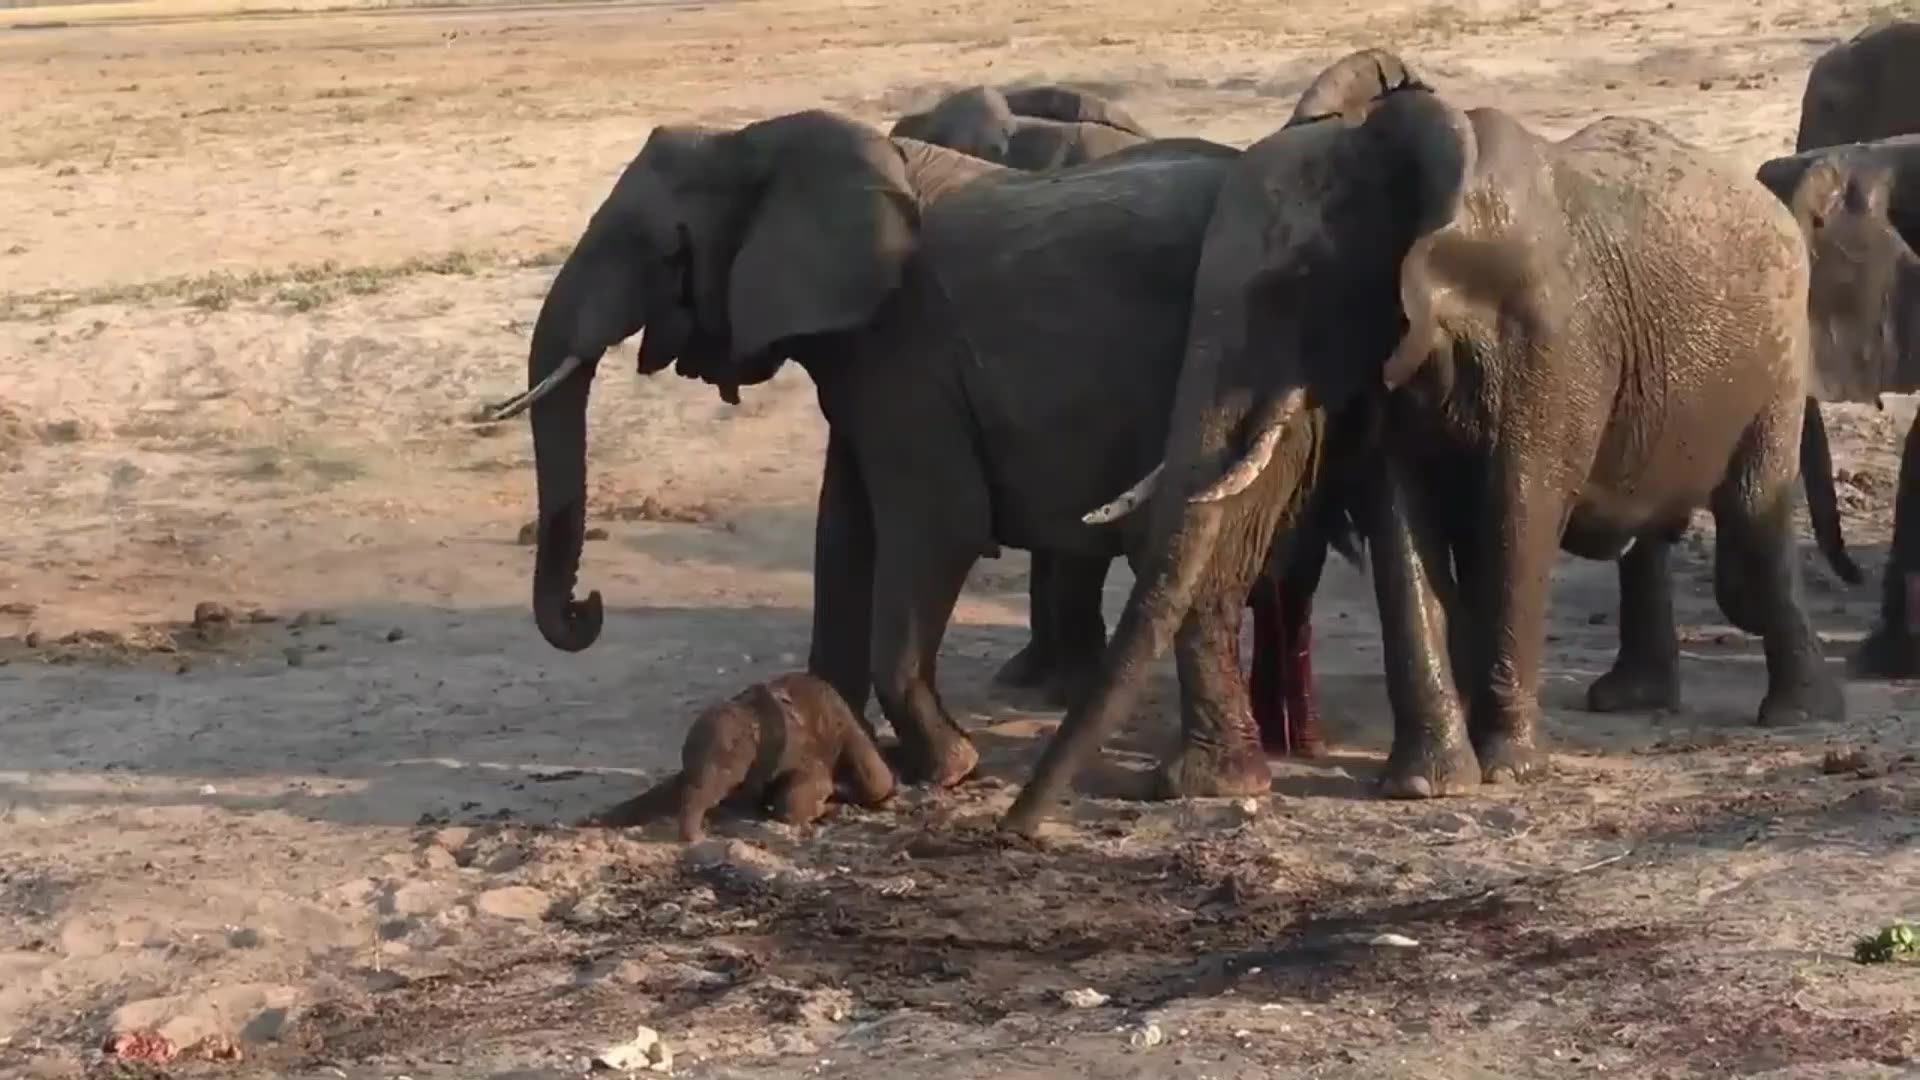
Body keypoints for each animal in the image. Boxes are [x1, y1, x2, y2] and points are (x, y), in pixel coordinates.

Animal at [500, 107, 1354, 790]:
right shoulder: (860, 355)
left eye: (660, 248)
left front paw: (949, 767)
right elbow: (845, 529)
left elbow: (939, 523)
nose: (587, 607)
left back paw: (1206, 785)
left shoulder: (908, 346)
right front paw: (828, 748)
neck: (761, 137)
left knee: (1197, 569)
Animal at [1002, 50, 1846, 834]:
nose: (1015, 831)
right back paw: (1632, 702)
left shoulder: (1553, 341)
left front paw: (1507, 770)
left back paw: (1800, 714)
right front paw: (1426, 785)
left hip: (1778, 353)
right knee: (1651, 539)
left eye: (1289, 289)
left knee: (1752, 522)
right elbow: (1401, 526)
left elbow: (1518, 515)